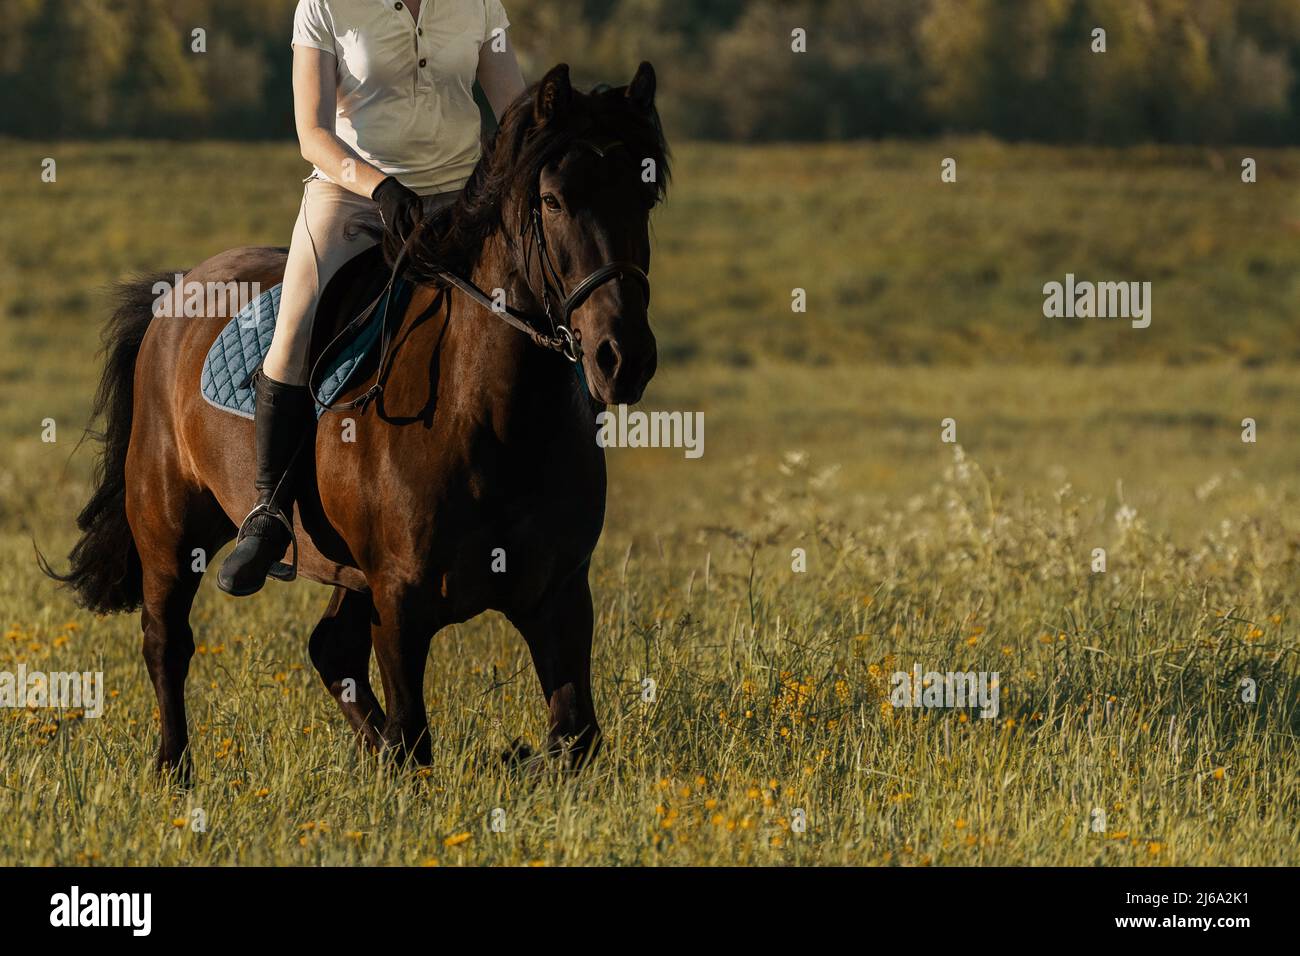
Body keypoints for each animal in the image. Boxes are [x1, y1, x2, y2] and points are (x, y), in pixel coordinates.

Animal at [45, 62, 670, 776]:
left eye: (645, 198)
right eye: (554, 202)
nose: (623, 358)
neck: (497, 423)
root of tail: (176, 289)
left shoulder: (560, 595)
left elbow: (574, 738)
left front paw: (509, 757)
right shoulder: (400, 602)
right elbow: (418, 737)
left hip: (346, 570)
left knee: (329, 648)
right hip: (169, 530)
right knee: (166, 642)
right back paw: (174, 772)